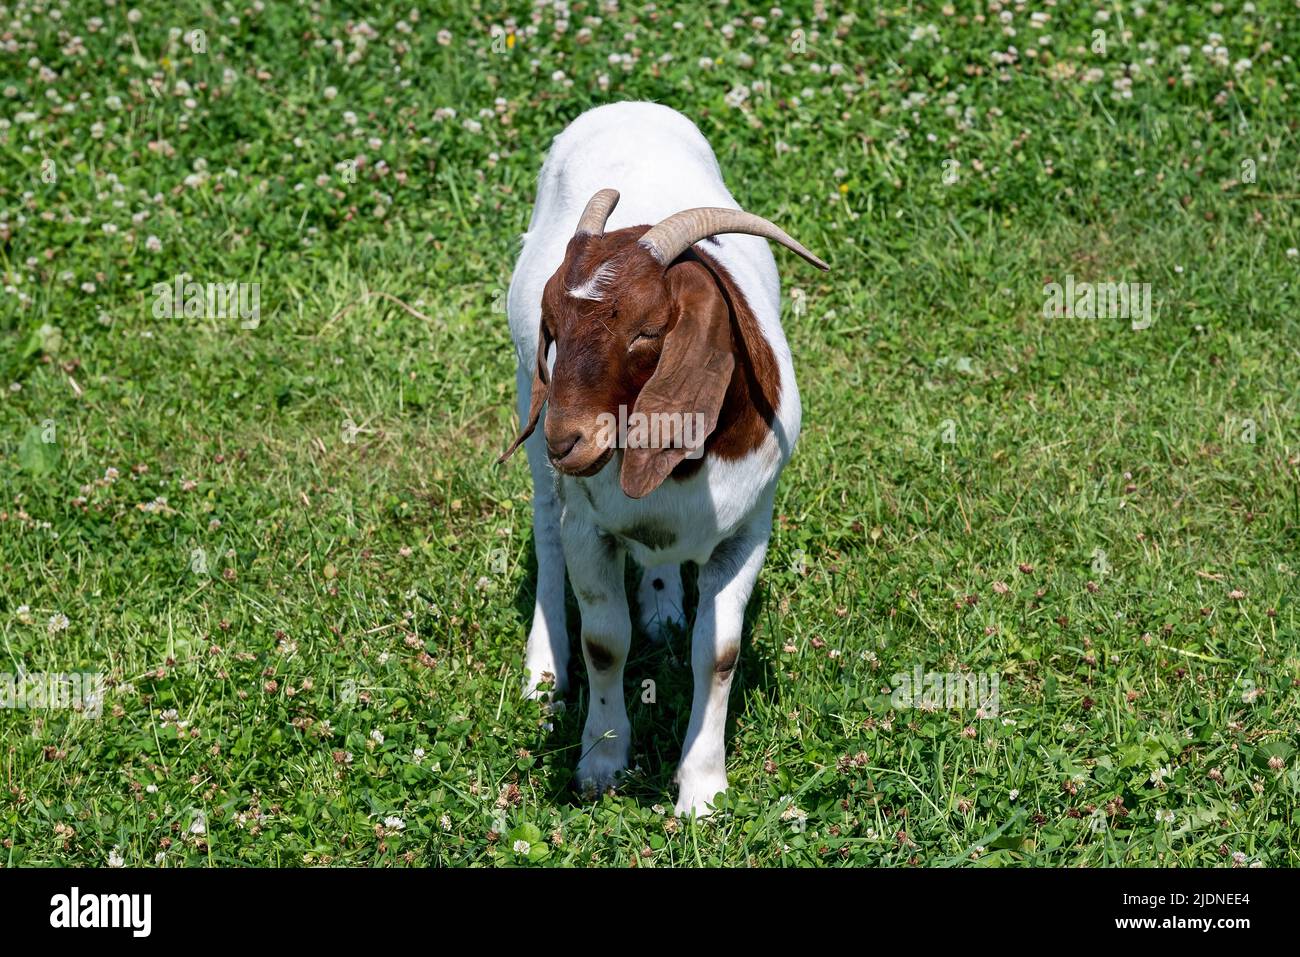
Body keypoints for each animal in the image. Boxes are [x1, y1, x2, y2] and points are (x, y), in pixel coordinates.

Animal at [500, 102, 827, 816]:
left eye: (647, 332)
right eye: (552, 327)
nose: (568, 440)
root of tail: (624, 105)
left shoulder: (747, 531)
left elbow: (720, 652)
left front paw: (702, 789)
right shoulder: (588, 526)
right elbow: (604, 643)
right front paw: (600, 762)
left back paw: (661, 603)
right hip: (525, 410)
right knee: (544, 527)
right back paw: (543, 670)